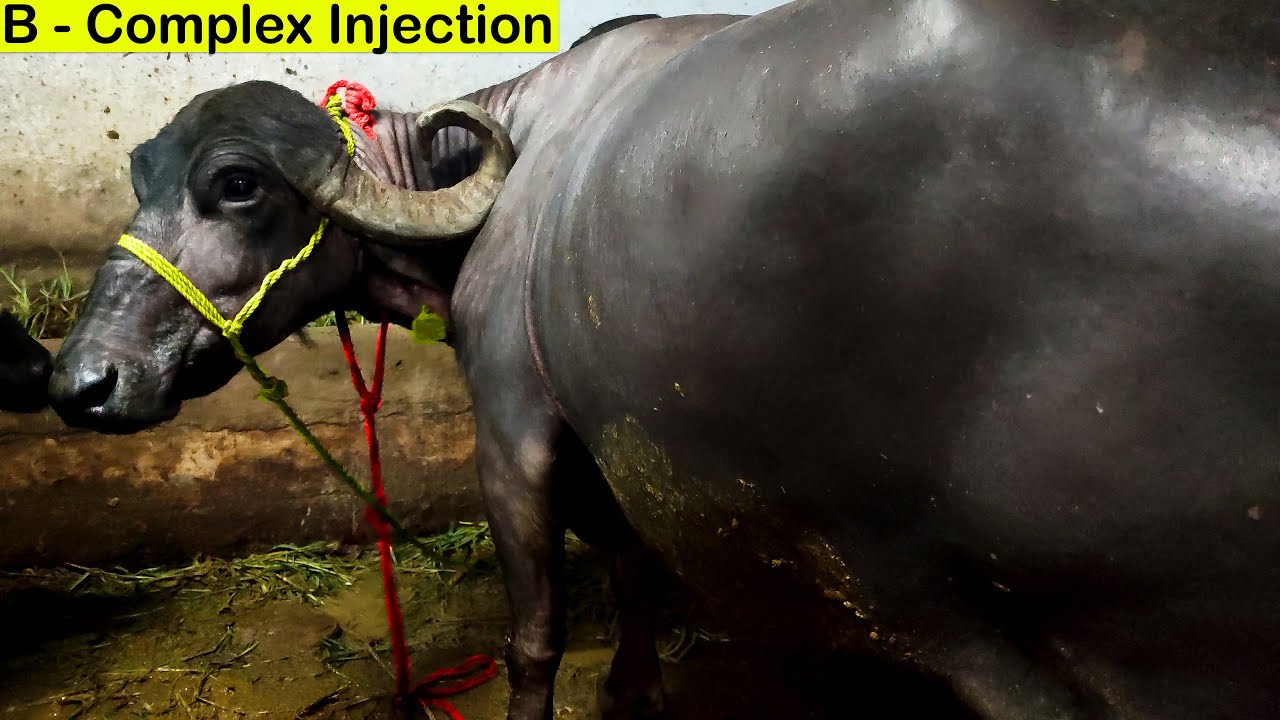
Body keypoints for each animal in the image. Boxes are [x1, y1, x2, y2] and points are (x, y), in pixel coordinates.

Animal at [49, 2, 1280, 719]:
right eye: (140, 176)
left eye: (238, 185)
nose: (81, 383)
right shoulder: (606, 441)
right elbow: (632, 568)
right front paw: (635, 691)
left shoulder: (514, 433)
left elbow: (535, 637)